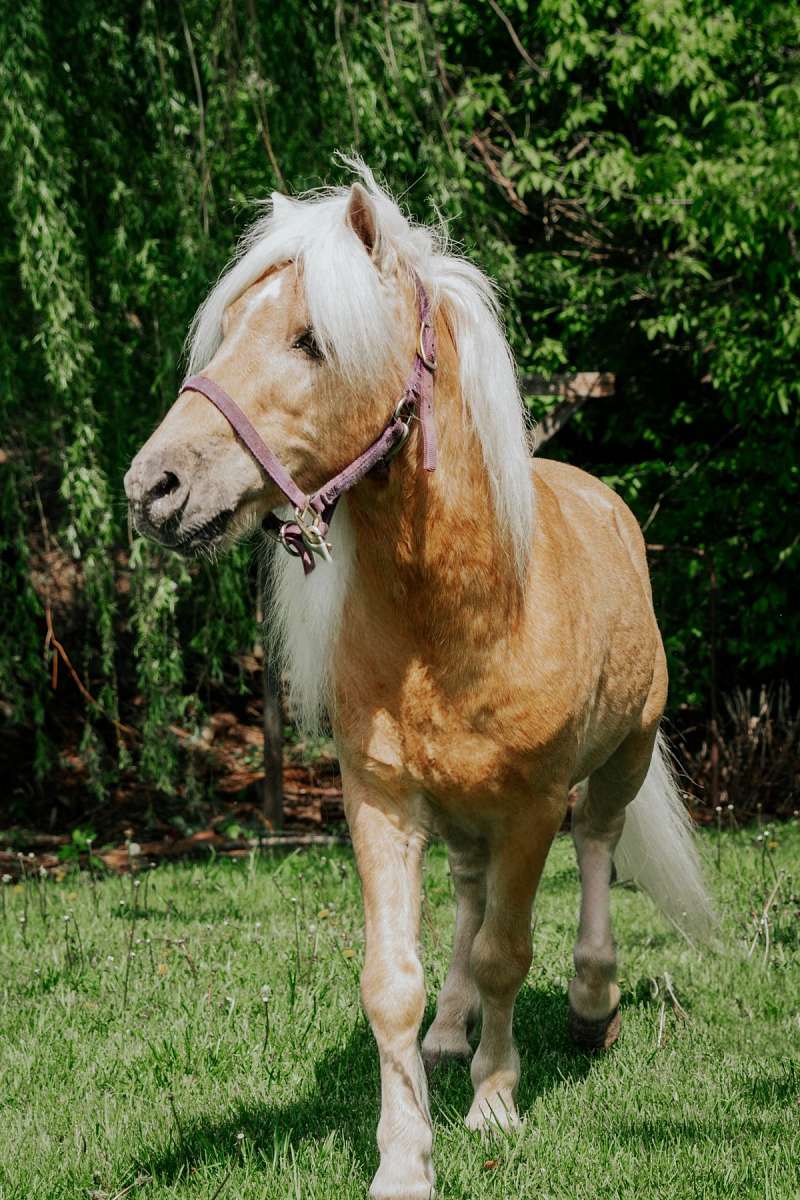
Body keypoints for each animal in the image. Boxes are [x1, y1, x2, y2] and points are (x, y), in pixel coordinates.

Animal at [124, 162, 713, 1200]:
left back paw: (592, 1004)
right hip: (463, 813)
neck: (460, 615)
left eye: (311, 339)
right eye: (228, 329)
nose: (154, 487)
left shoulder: (531, 806)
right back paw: (450, 1030)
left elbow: (511, 953)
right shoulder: (382, 800)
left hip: (622, 760)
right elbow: (391, 983)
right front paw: (406, 1154)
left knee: (596, 852)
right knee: (470, 902)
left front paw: (495, 1105)